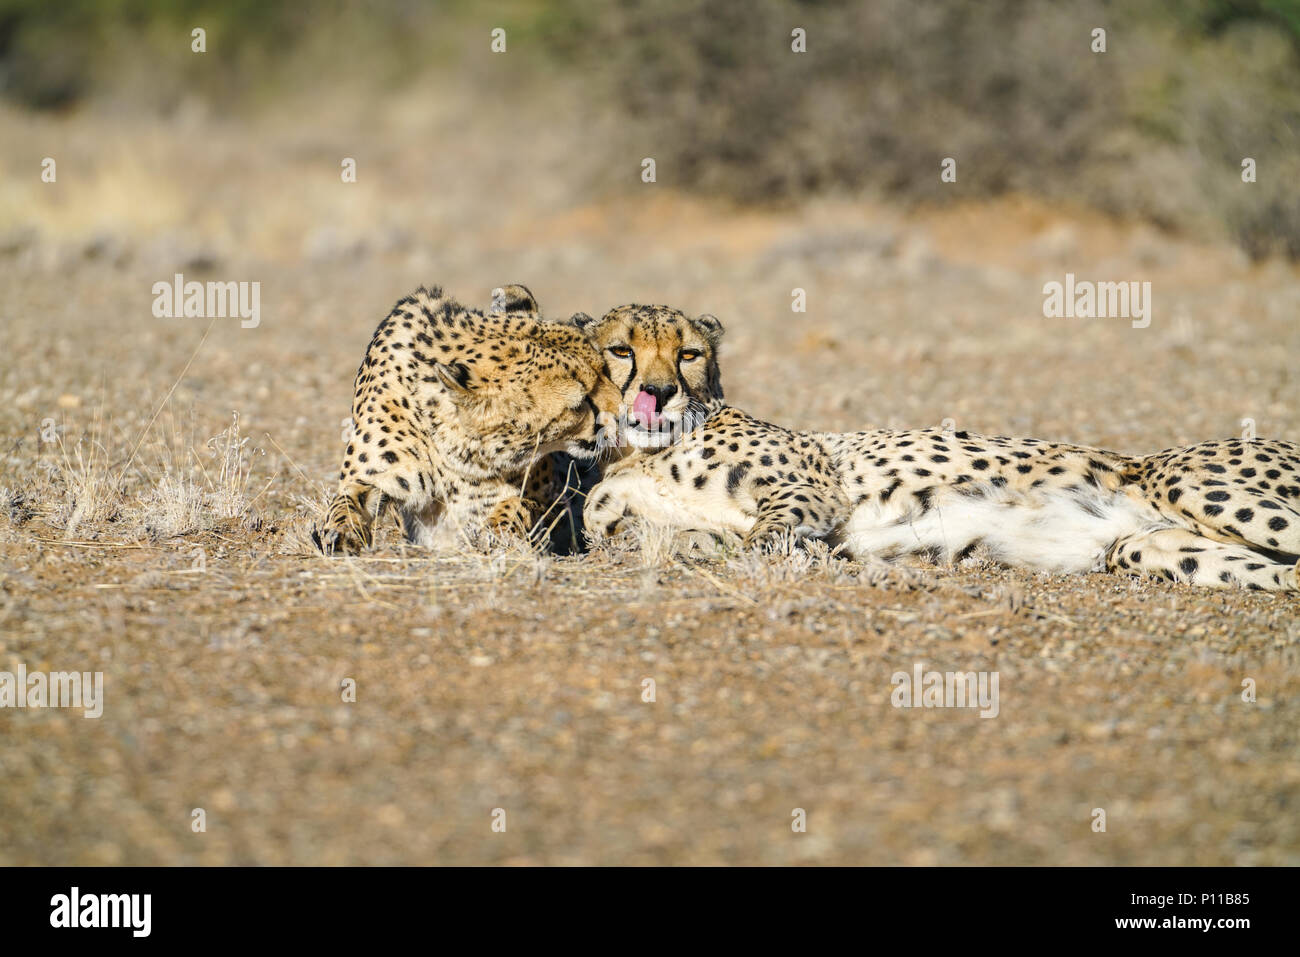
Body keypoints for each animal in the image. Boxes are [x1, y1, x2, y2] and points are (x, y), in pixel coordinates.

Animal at [312, 284, 622, 555]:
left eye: (604, 370)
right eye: (581, 402)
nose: (623, 413)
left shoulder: (548, 497)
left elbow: (515, 505)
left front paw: (498, 532)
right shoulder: (371, 476)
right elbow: (345, 502)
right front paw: (341, 533)